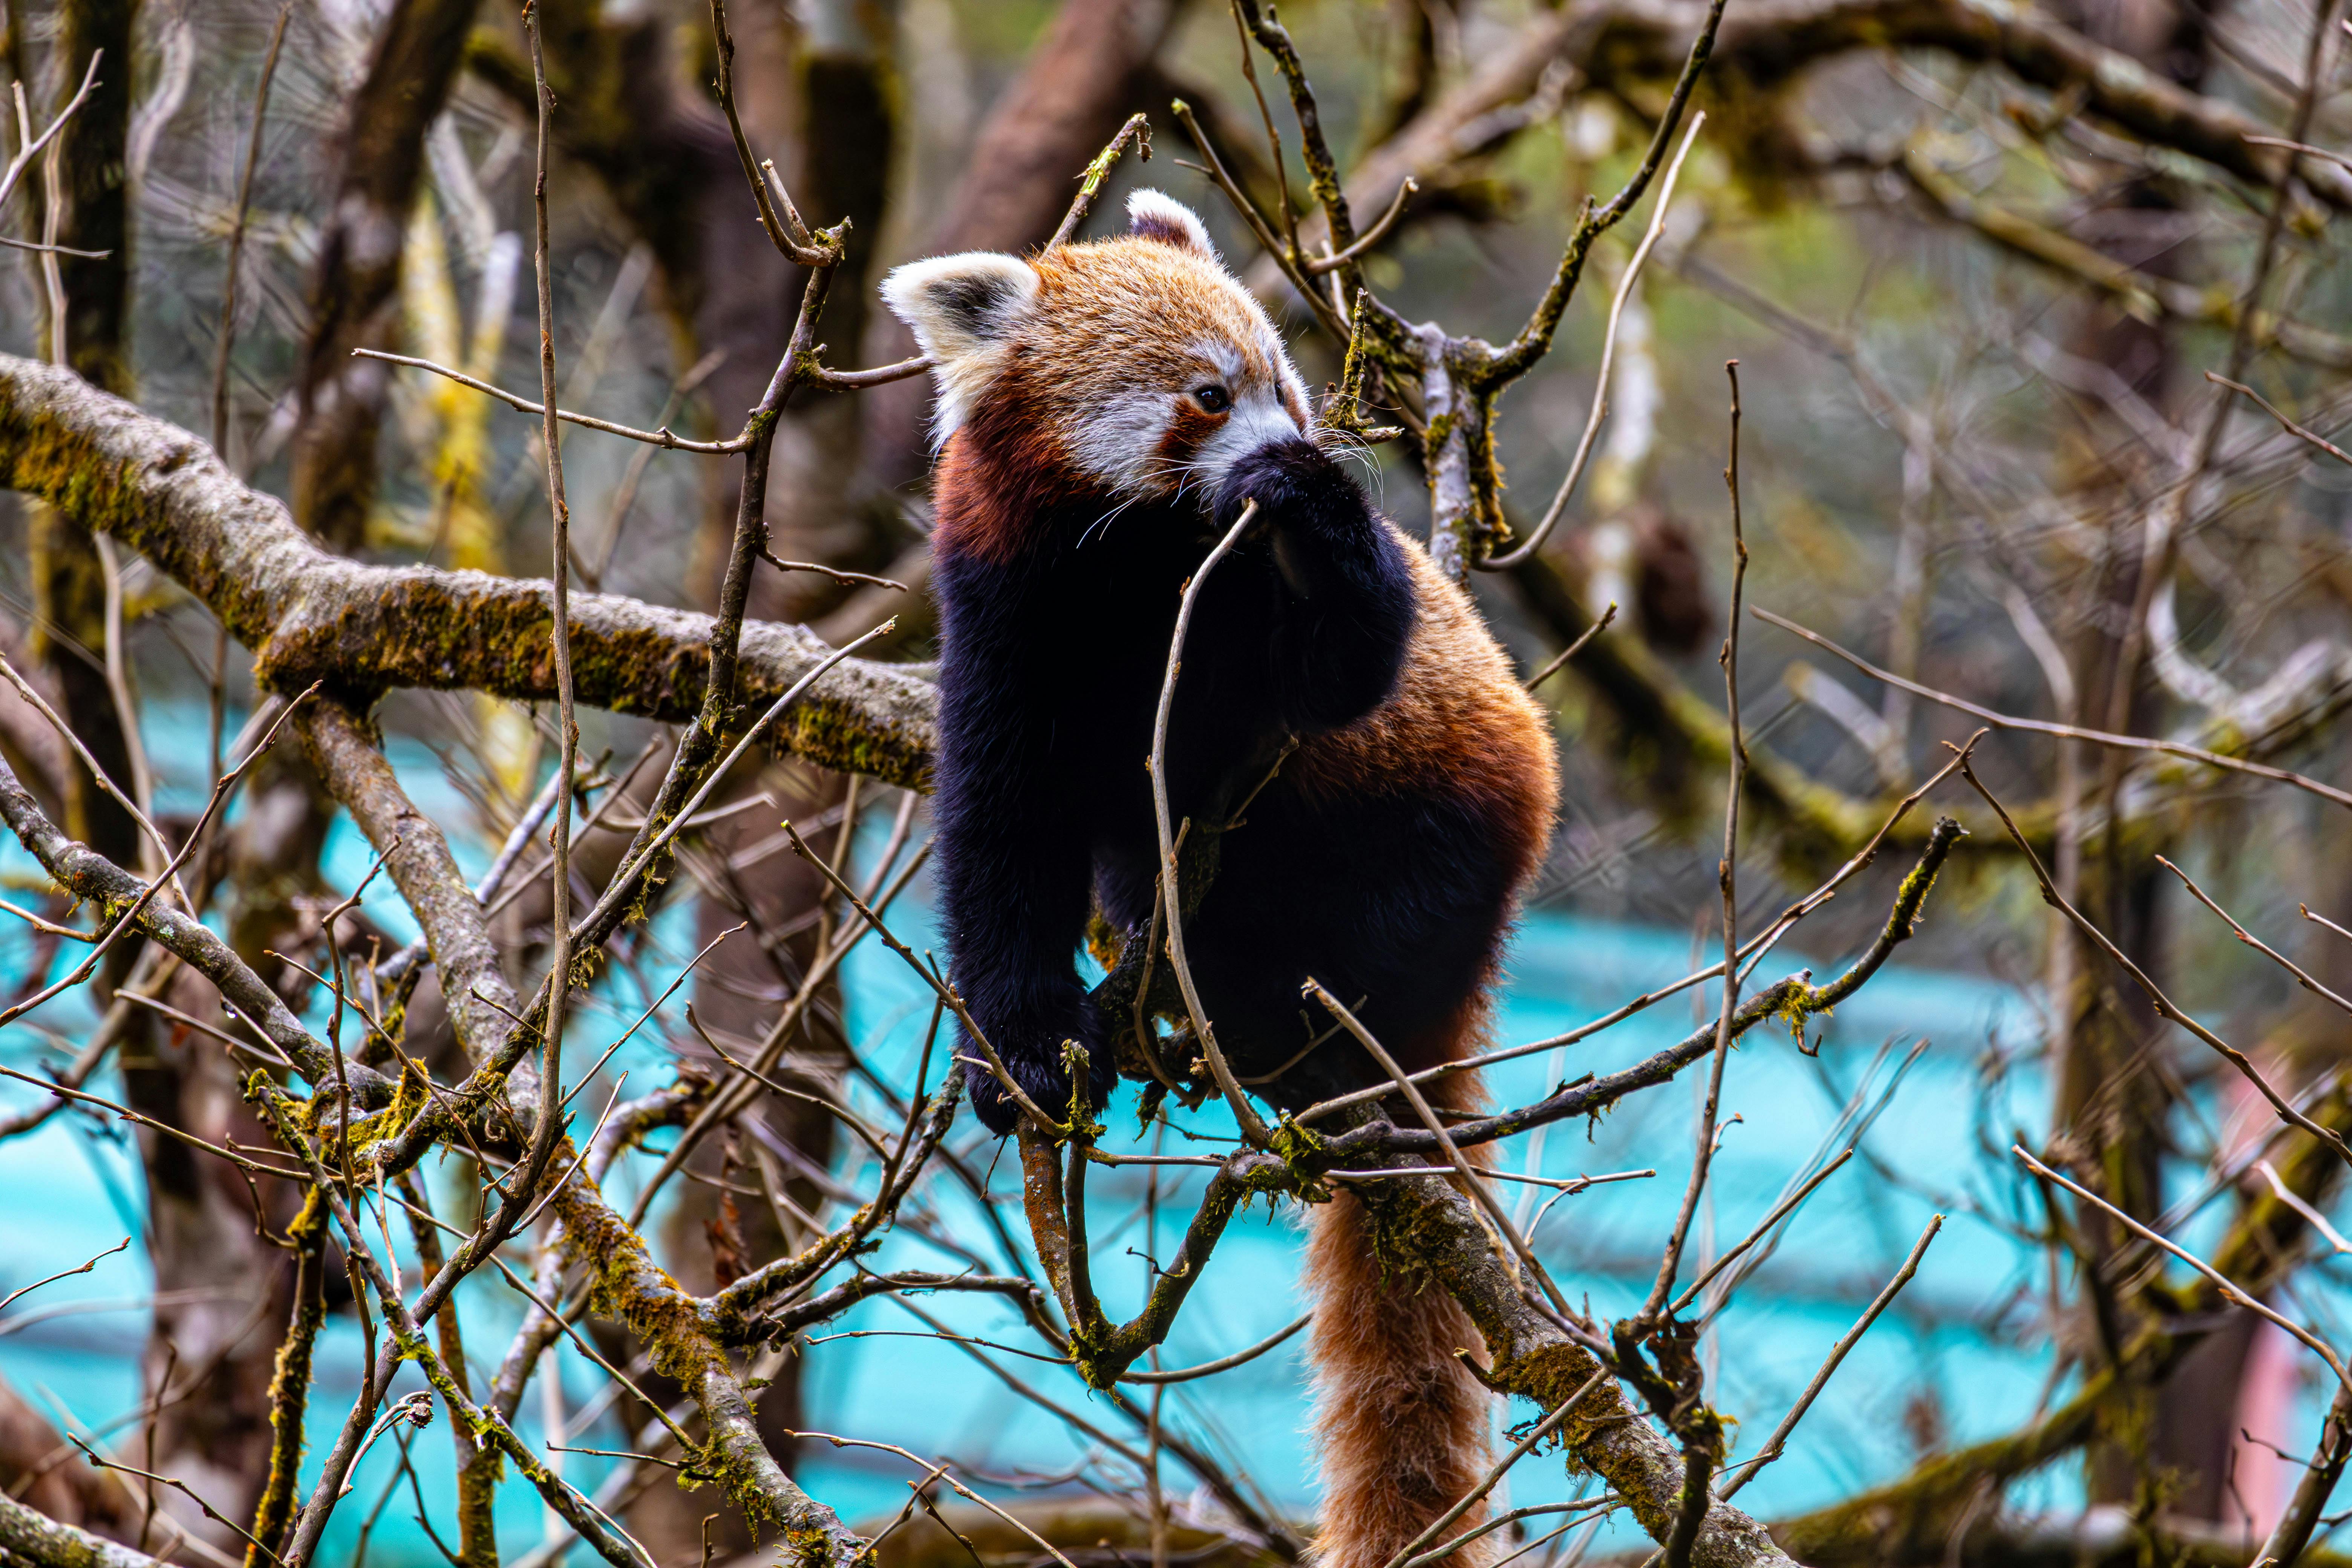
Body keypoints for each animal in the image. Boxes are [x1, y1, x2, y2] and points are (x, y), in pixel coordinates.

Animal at [881, 189, 1558, 1568]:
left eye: (1284, 387)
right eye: (1206, 394)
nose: (1286, 444)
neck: (1128, 567)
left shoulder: (1252, 620)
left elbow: (1344, 673)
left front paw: (1313, 495)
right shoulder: (1002, 623)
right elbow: (1000, 845)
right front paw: (1023, 1051)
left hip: (1453, 812)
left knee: (1393, 905)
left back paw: (1272, 1017)